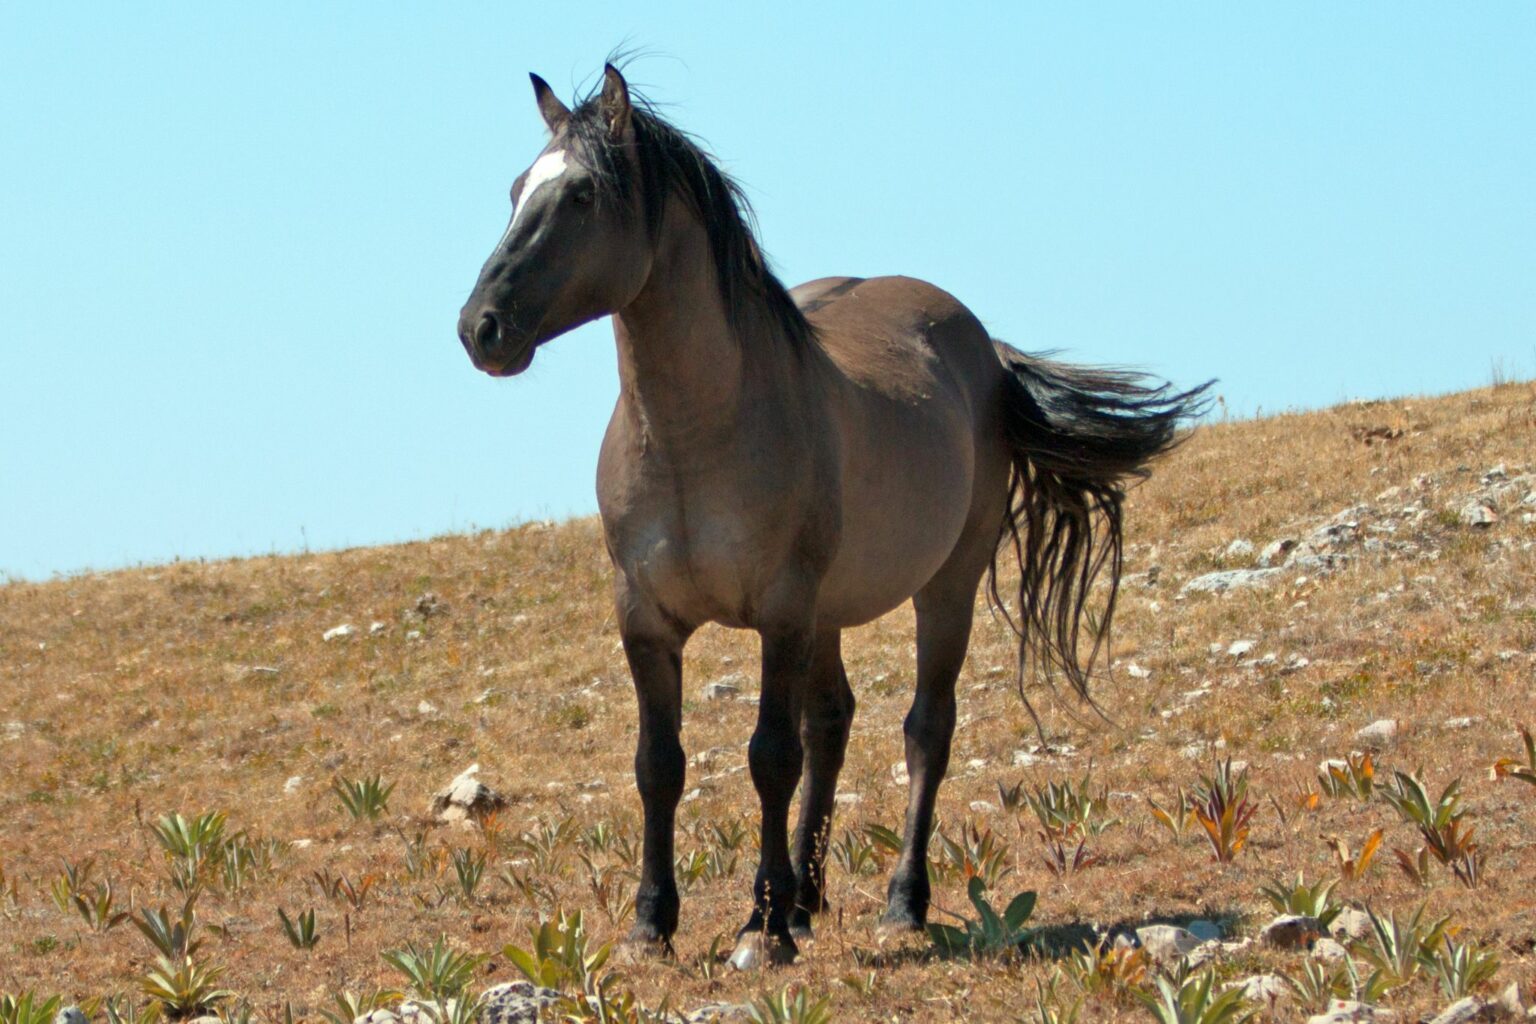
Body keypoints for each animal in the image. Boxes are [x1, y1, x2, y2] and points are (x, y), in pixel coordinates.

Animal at [457, 64, 1209, 969]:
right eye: (515, 191)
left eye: (581, 196)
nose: (481, 329)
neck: (693, 437)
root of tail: (984, 350)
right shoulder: (646, 619)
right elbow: (659, 764)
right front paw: (654, 924)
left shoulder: (781, 610)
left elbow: (769, 758)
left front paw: (763, 929)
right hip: (828, 614)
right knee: (833, 724)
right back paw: (807, 899)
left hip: (941, 588)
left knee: (924, 729)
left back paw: (897, 903)